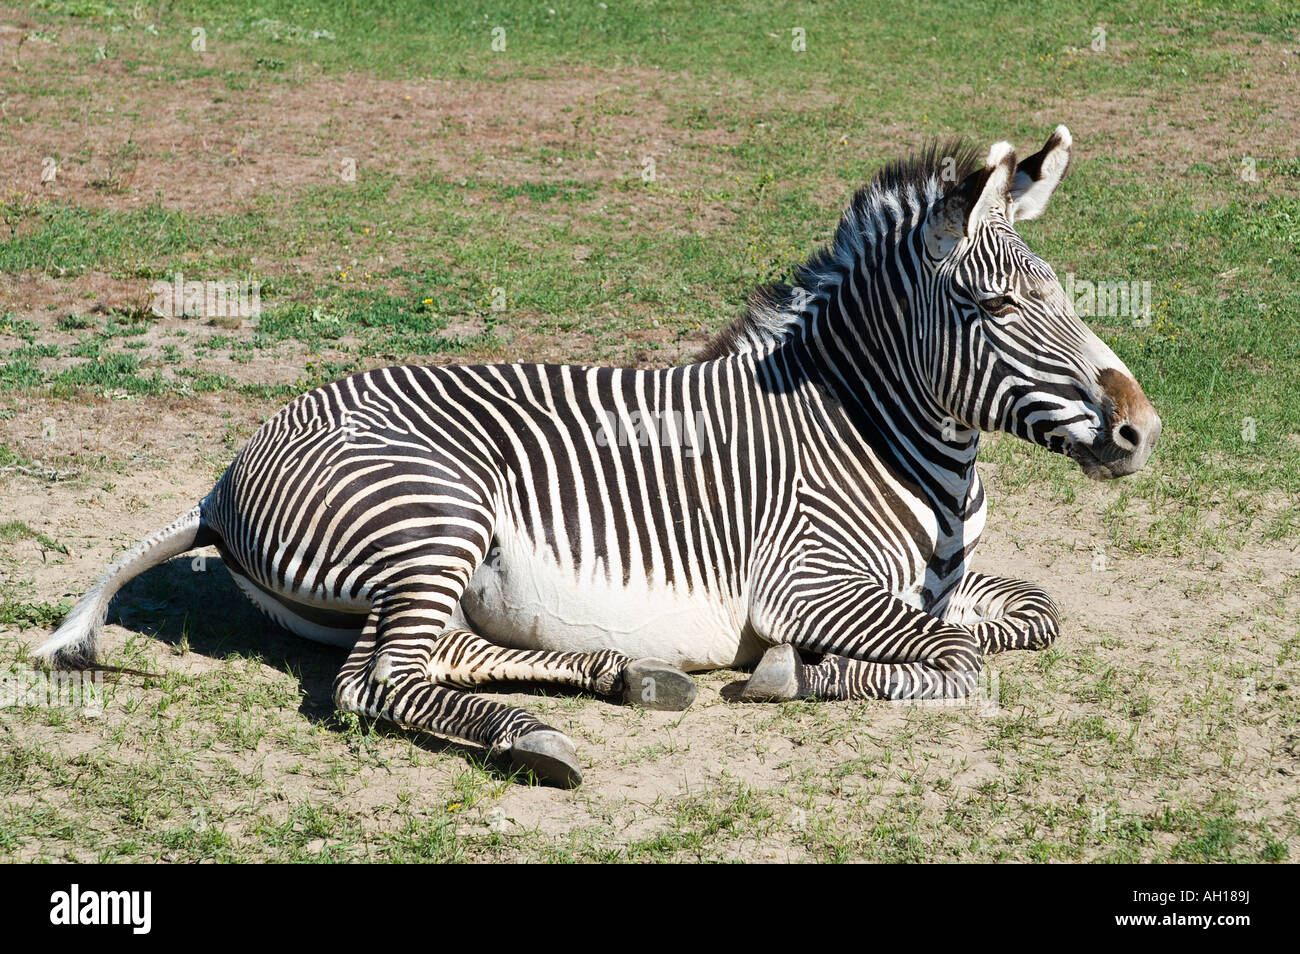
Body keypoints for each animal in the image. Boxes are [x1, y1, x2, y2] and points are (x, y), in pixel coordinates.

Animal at [34, 126, 1160, 787]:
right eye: (999, 307)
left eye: (1060, 293)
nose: (1140, 430)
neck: (871, 427)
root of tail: (223, 477)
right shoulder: (807, 586)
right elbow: (960, 664)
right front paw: (798, 674)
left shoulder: (939, 586)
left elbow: (1033, 613)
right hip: (434, 514)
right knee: (373, 684)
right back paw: (535, 740)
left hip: (425, 579)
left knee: (441, 653)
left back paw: (629, 675)